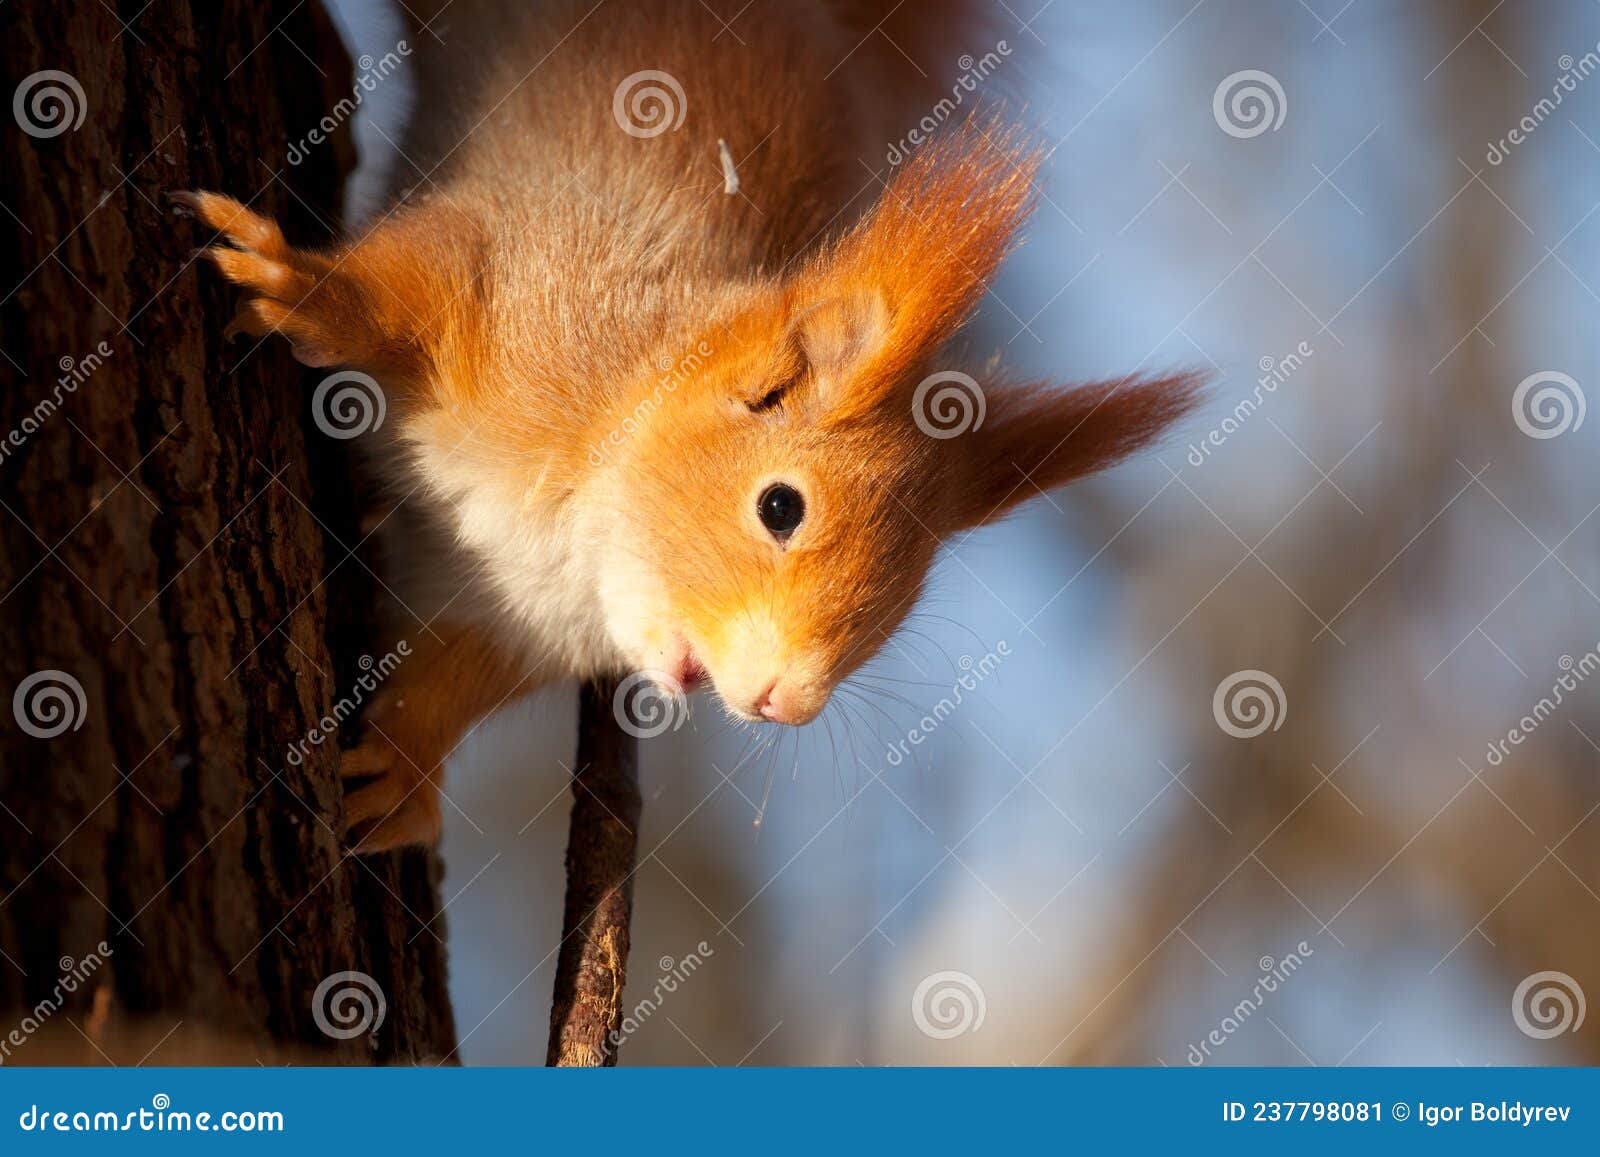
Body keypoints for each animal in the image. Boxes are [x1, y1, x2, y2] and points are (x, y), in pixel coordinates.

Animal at [180, 0, 1200, 853]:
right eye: (781, 507)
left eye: (906, 601)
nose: (784, 702)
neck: (575, 525)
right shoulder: (515, 271)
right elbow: (404, 282)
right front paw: (303, 286)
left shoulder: (496, 610)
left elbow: (447, 675)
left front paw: (401, 769)